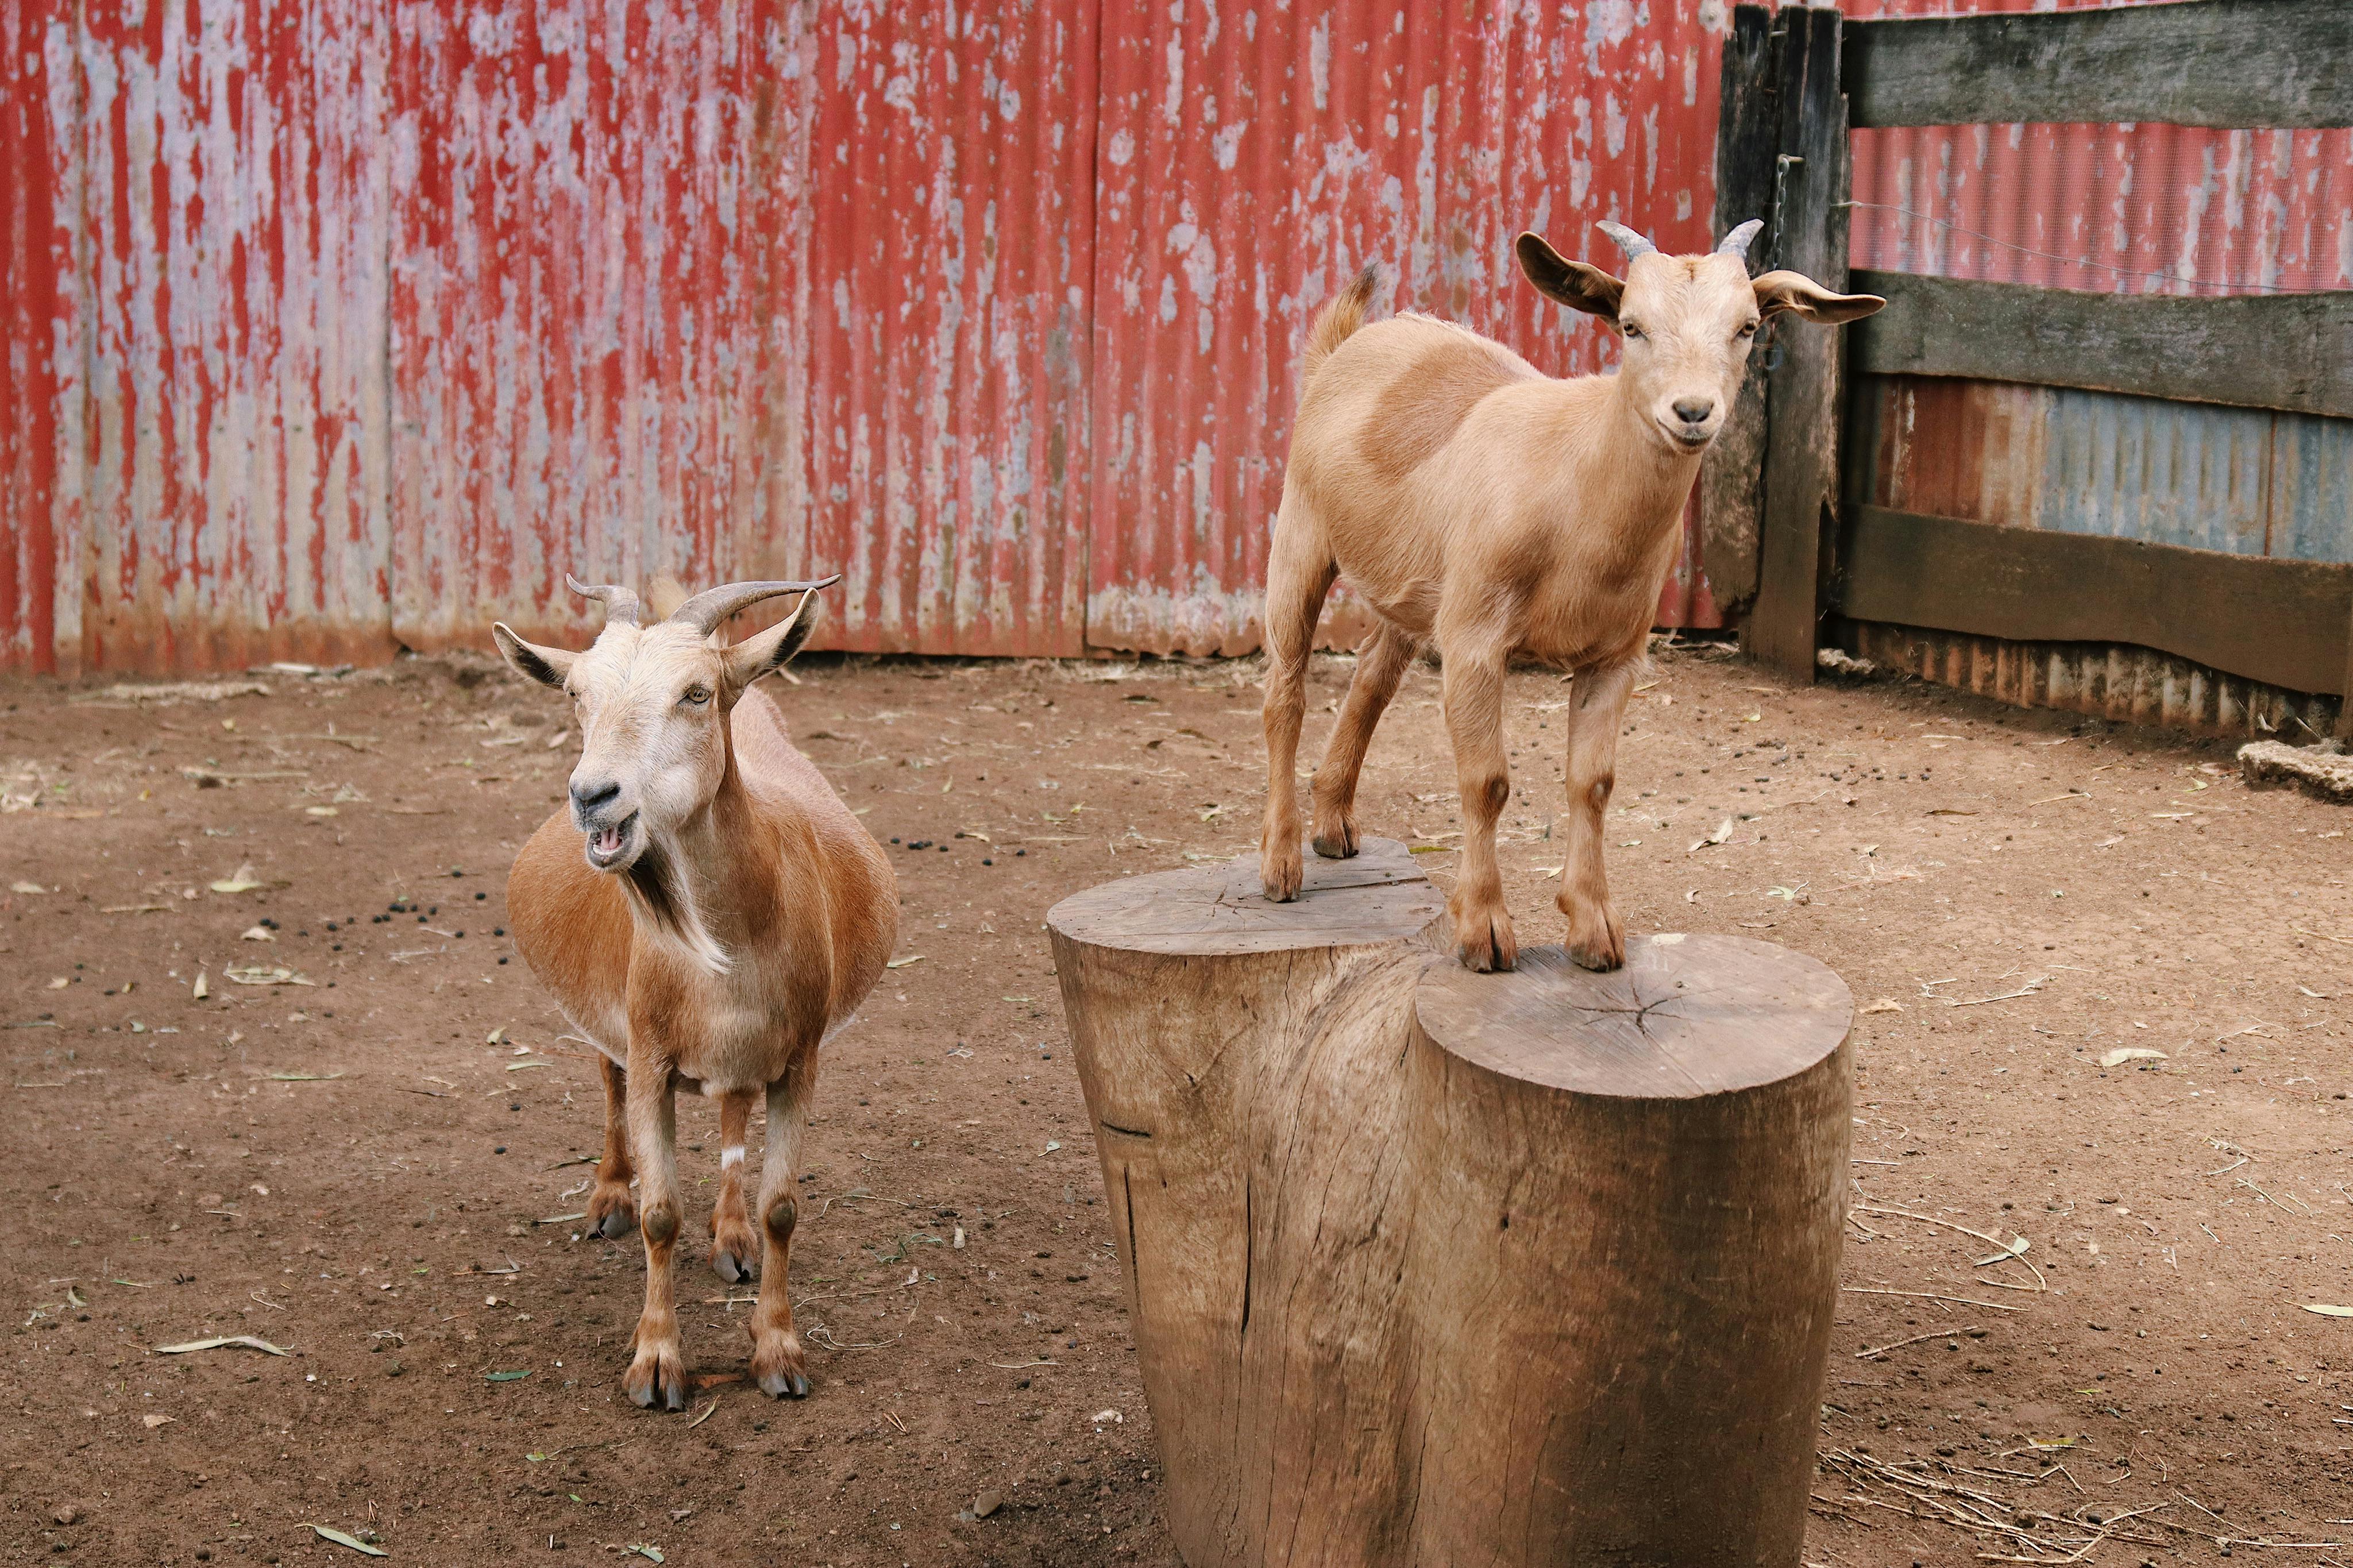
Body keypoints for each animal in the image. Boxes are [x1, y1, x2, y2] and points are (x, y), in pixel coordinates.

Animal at [495, 575, 896, 1408]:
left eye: (697, 692)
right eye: (576, 693)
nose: (595, 796)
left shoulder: (800, 1060)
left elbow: (783, 1209)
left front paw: (778, 1351)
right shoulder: (652, 1055)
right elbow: (660, 1214)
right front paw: (655, 1365)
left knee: (732, 1108)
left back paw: (732, 1236)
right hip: (611, 1024)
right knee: (606, 1075)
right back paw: (608, 1199)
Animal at [1258, 220, 1882, 972]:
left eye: (1748, 327)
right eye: (1631, 326)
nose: (1692, 412)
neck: (1575, 483)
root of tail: (1343, 347)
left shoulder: (1615, 656)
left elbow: (1593, 784)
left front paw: (1594, 930)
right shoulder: (1475, 639)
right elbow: (1487, 782)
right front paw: (1485, 932)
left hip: (1411, 585)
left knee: (1373, 677)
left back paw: (1332, 823)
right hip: (1300, 535)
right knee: (1285, 692)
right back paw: (1281, 863)